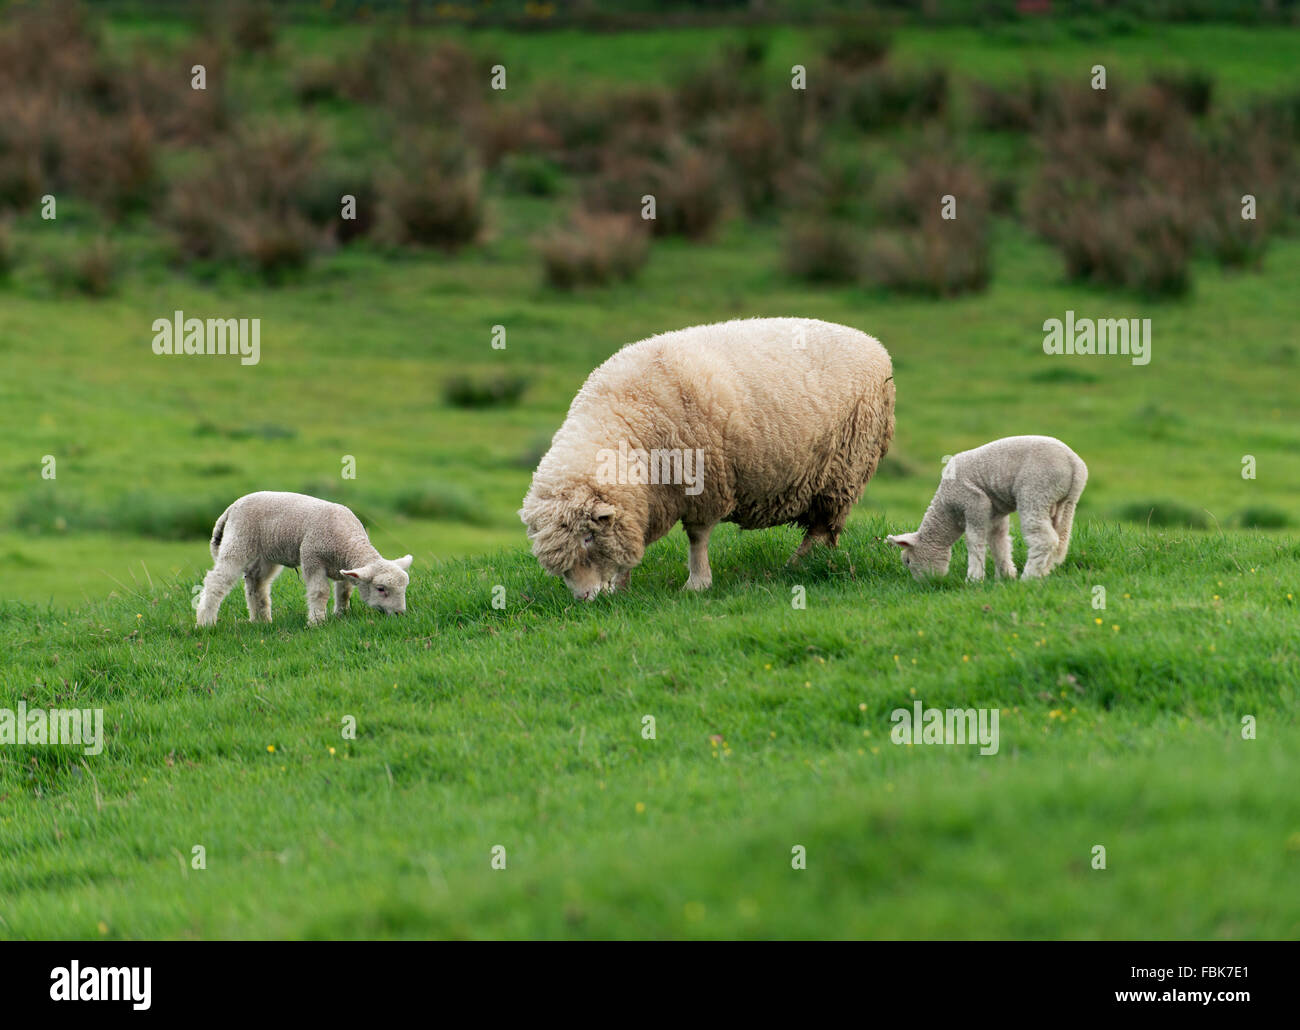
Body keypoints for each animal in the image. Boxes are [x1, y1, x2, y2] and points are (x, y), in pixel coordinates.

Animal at [196, 491, 412, 626]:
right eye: (381, 589)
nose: (400, 614)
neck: (347, 541)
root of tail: (232, 507)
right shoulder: (312, 558)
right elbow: (320, 592)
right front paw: (316, 622)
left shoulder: (345, 567)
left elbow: (344, 592)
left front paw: (341, 614)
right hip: (238, 541)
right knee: (217, 581)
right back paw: (206, 622)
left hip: (265, 555)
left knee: (257, 583)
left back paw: (261, 620)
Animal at [519, 317, 896, 599]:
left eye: (587, 537)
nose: (584, 598)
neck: (628, 419)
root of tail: (873, 344)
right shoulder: (642, 501)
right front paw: (621, 587)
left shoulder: (705, 483)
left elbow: (697, 539)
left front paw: (697, 583)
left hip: (843, 468)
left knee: (820, 527)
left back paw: (798, 565)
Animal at [887, 435, 1087, 582]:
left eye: (908, 561)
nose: (925, 584)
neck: (947, 511)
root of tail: (1074, 464)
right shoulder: (996, 514)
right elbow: (999, 542)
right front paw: (1005, 575)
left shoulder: (975, 502)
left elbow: (974, 540)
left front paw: (974, 578)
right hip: (1064, 503)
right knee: (1059, 539)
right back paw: (1043, 572)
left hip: (1036, 491)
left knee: (1044, 539)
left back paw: (1029, 577)